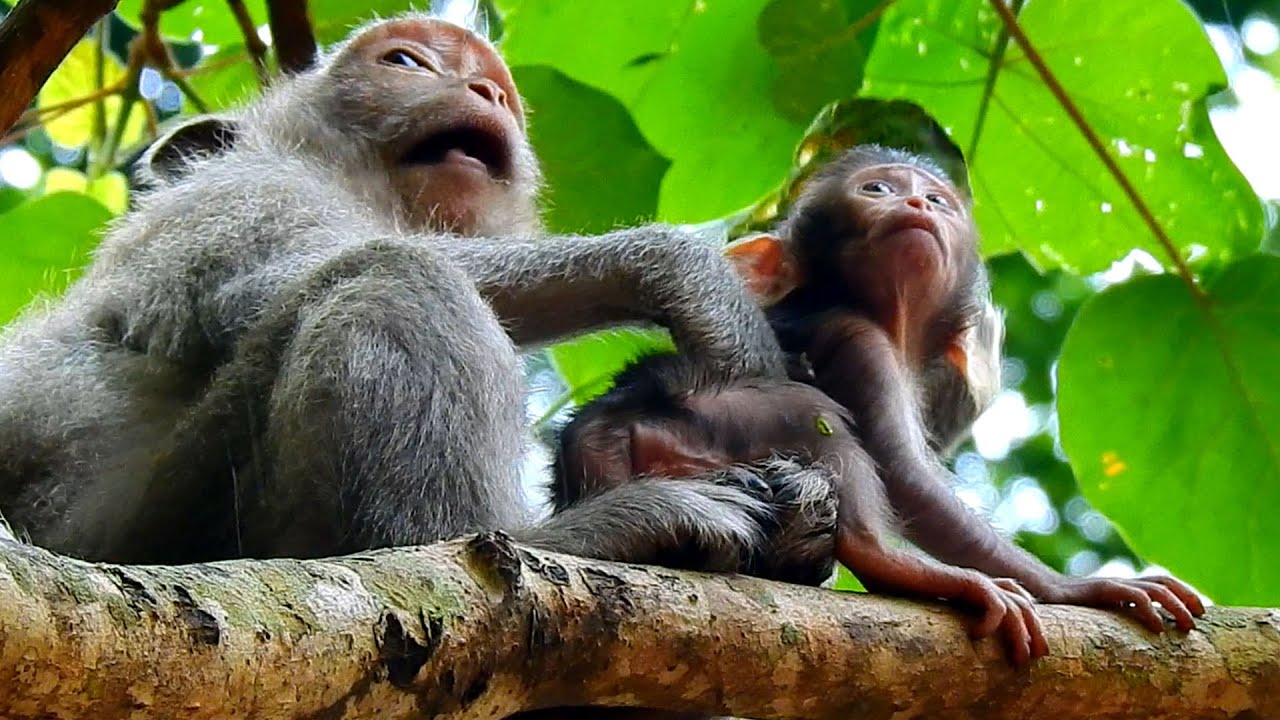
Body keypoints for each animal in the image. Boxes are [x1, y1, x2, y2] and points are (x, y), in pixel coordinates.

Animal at [0, 14, 837, 587]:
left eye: (500, 92)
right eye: (405, 61)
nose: (487, 85)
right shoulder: (238, 198)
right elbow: (286, 278)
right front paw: (682, 270)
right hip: (166, 526)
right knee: (396, 275)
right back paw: (527, 540)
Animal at [723, 145, 1206, 649]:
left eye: (937, 199)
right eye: (877, 188)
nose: (917, 202)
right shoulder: (863, 343)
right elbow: (906, 475)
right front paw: (1077, 588)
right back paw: (884, 560)